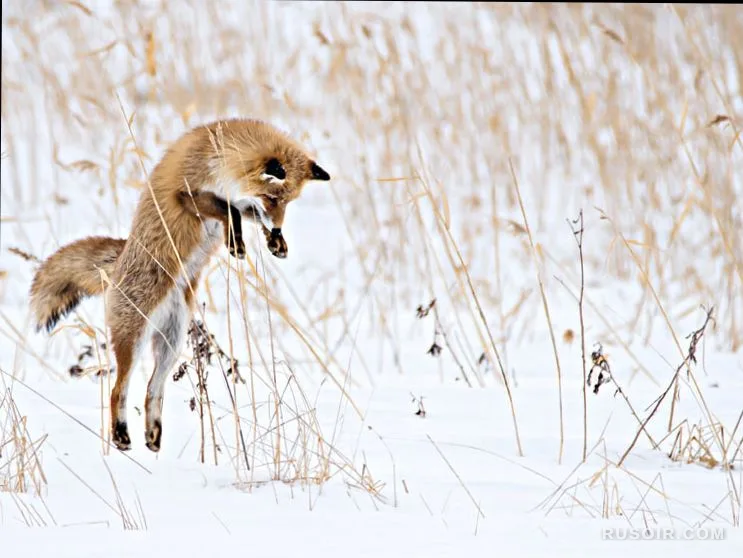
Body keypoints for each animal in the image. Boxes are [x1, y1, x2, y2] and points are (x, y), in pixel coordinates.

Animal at [29, 118, 330, 452]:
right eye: (273, 198)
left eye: (288, 202)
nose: (279, 227)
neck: (219, 157)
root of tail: (118, 263)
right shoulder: (186, 193)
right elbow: (230, 211)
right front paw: (237, 243)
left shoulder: (238, 199)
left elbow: (245, 214)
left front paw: (274, 241)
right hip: (133, 339)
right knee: (118, 389)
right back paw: (121, 435)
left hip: (171, 344)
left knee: (153, 389)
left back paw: (153, 436)